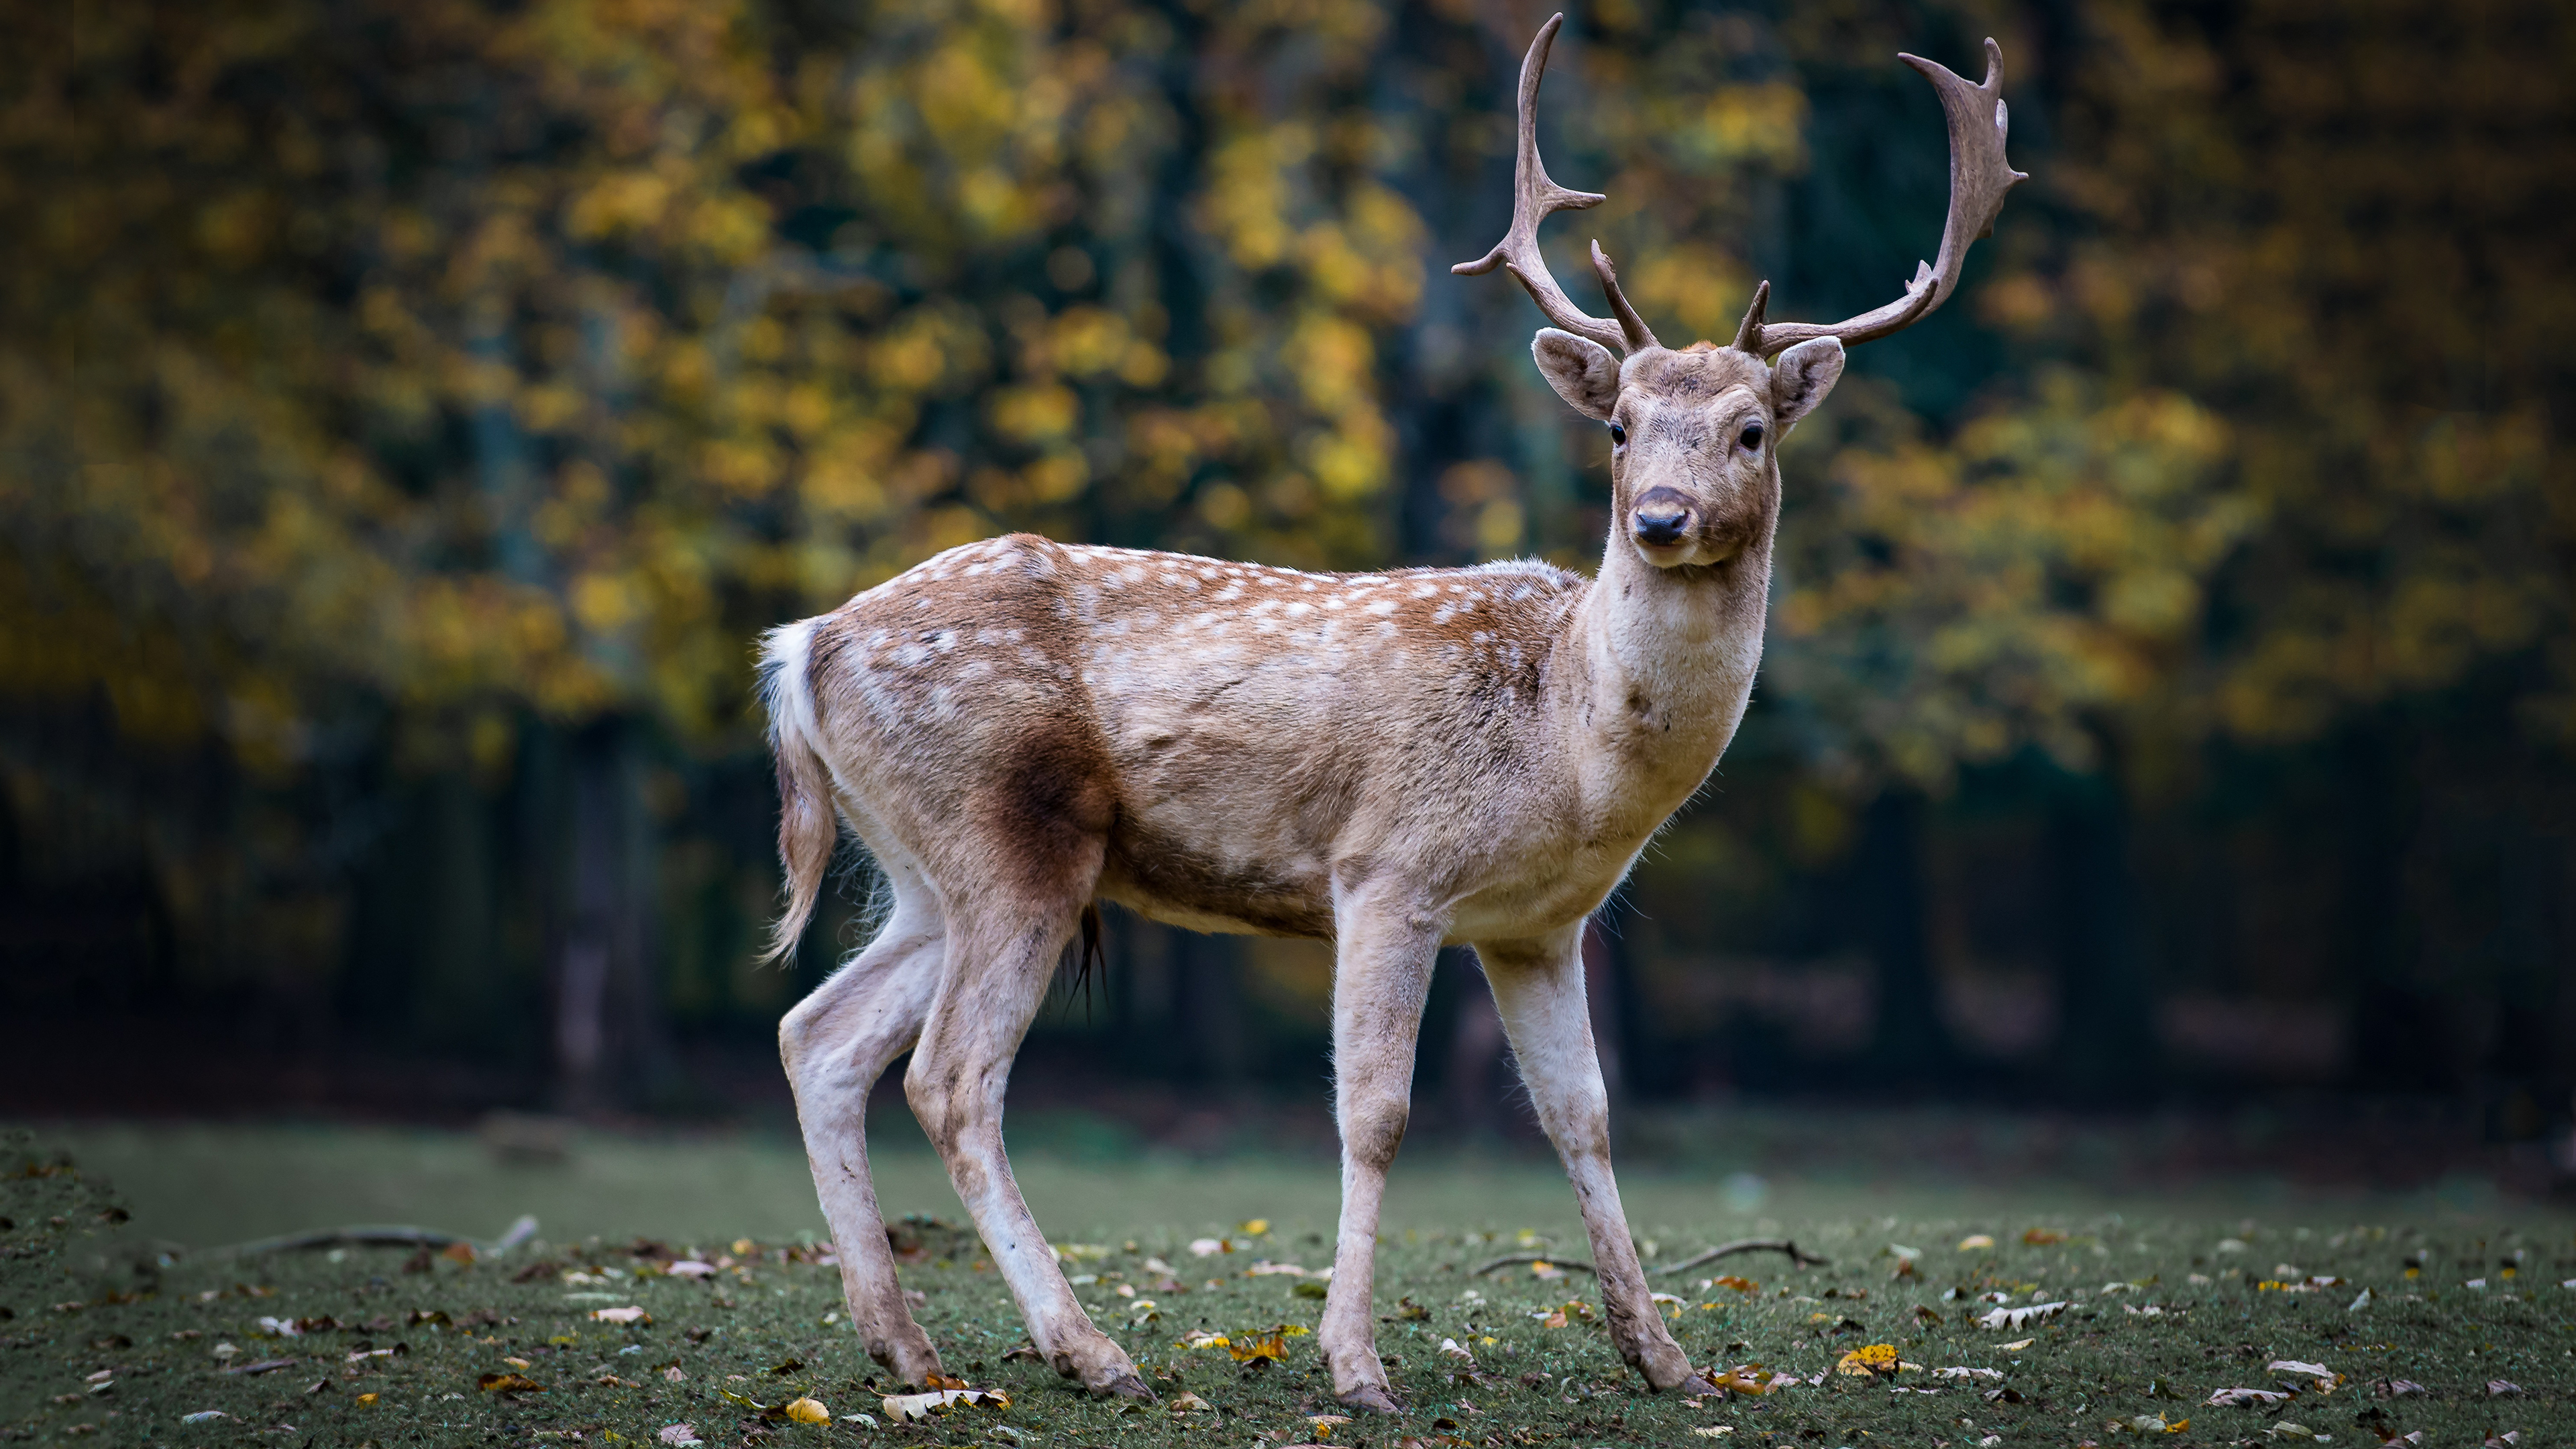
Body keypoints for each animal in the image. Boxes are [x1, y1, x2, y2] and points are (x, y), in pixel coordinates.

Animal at [761, 12, 2021, 1412]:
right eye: (1623, 428)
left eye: (1751, 430)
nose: (1660, 518)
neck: (1569, 746)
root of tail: (802, 648)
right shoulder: (1387, 870)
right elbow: (1376, 1114)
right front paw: (1356, 1366)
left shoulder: (1538, 926)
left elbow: (1583, 1117)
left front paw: (1670, 1360)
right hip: (1007, 836)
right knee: (949, 1079)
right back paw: (1092, 1353)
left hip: (923, 866)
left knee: (818, 1034)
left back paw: (905, 1345)